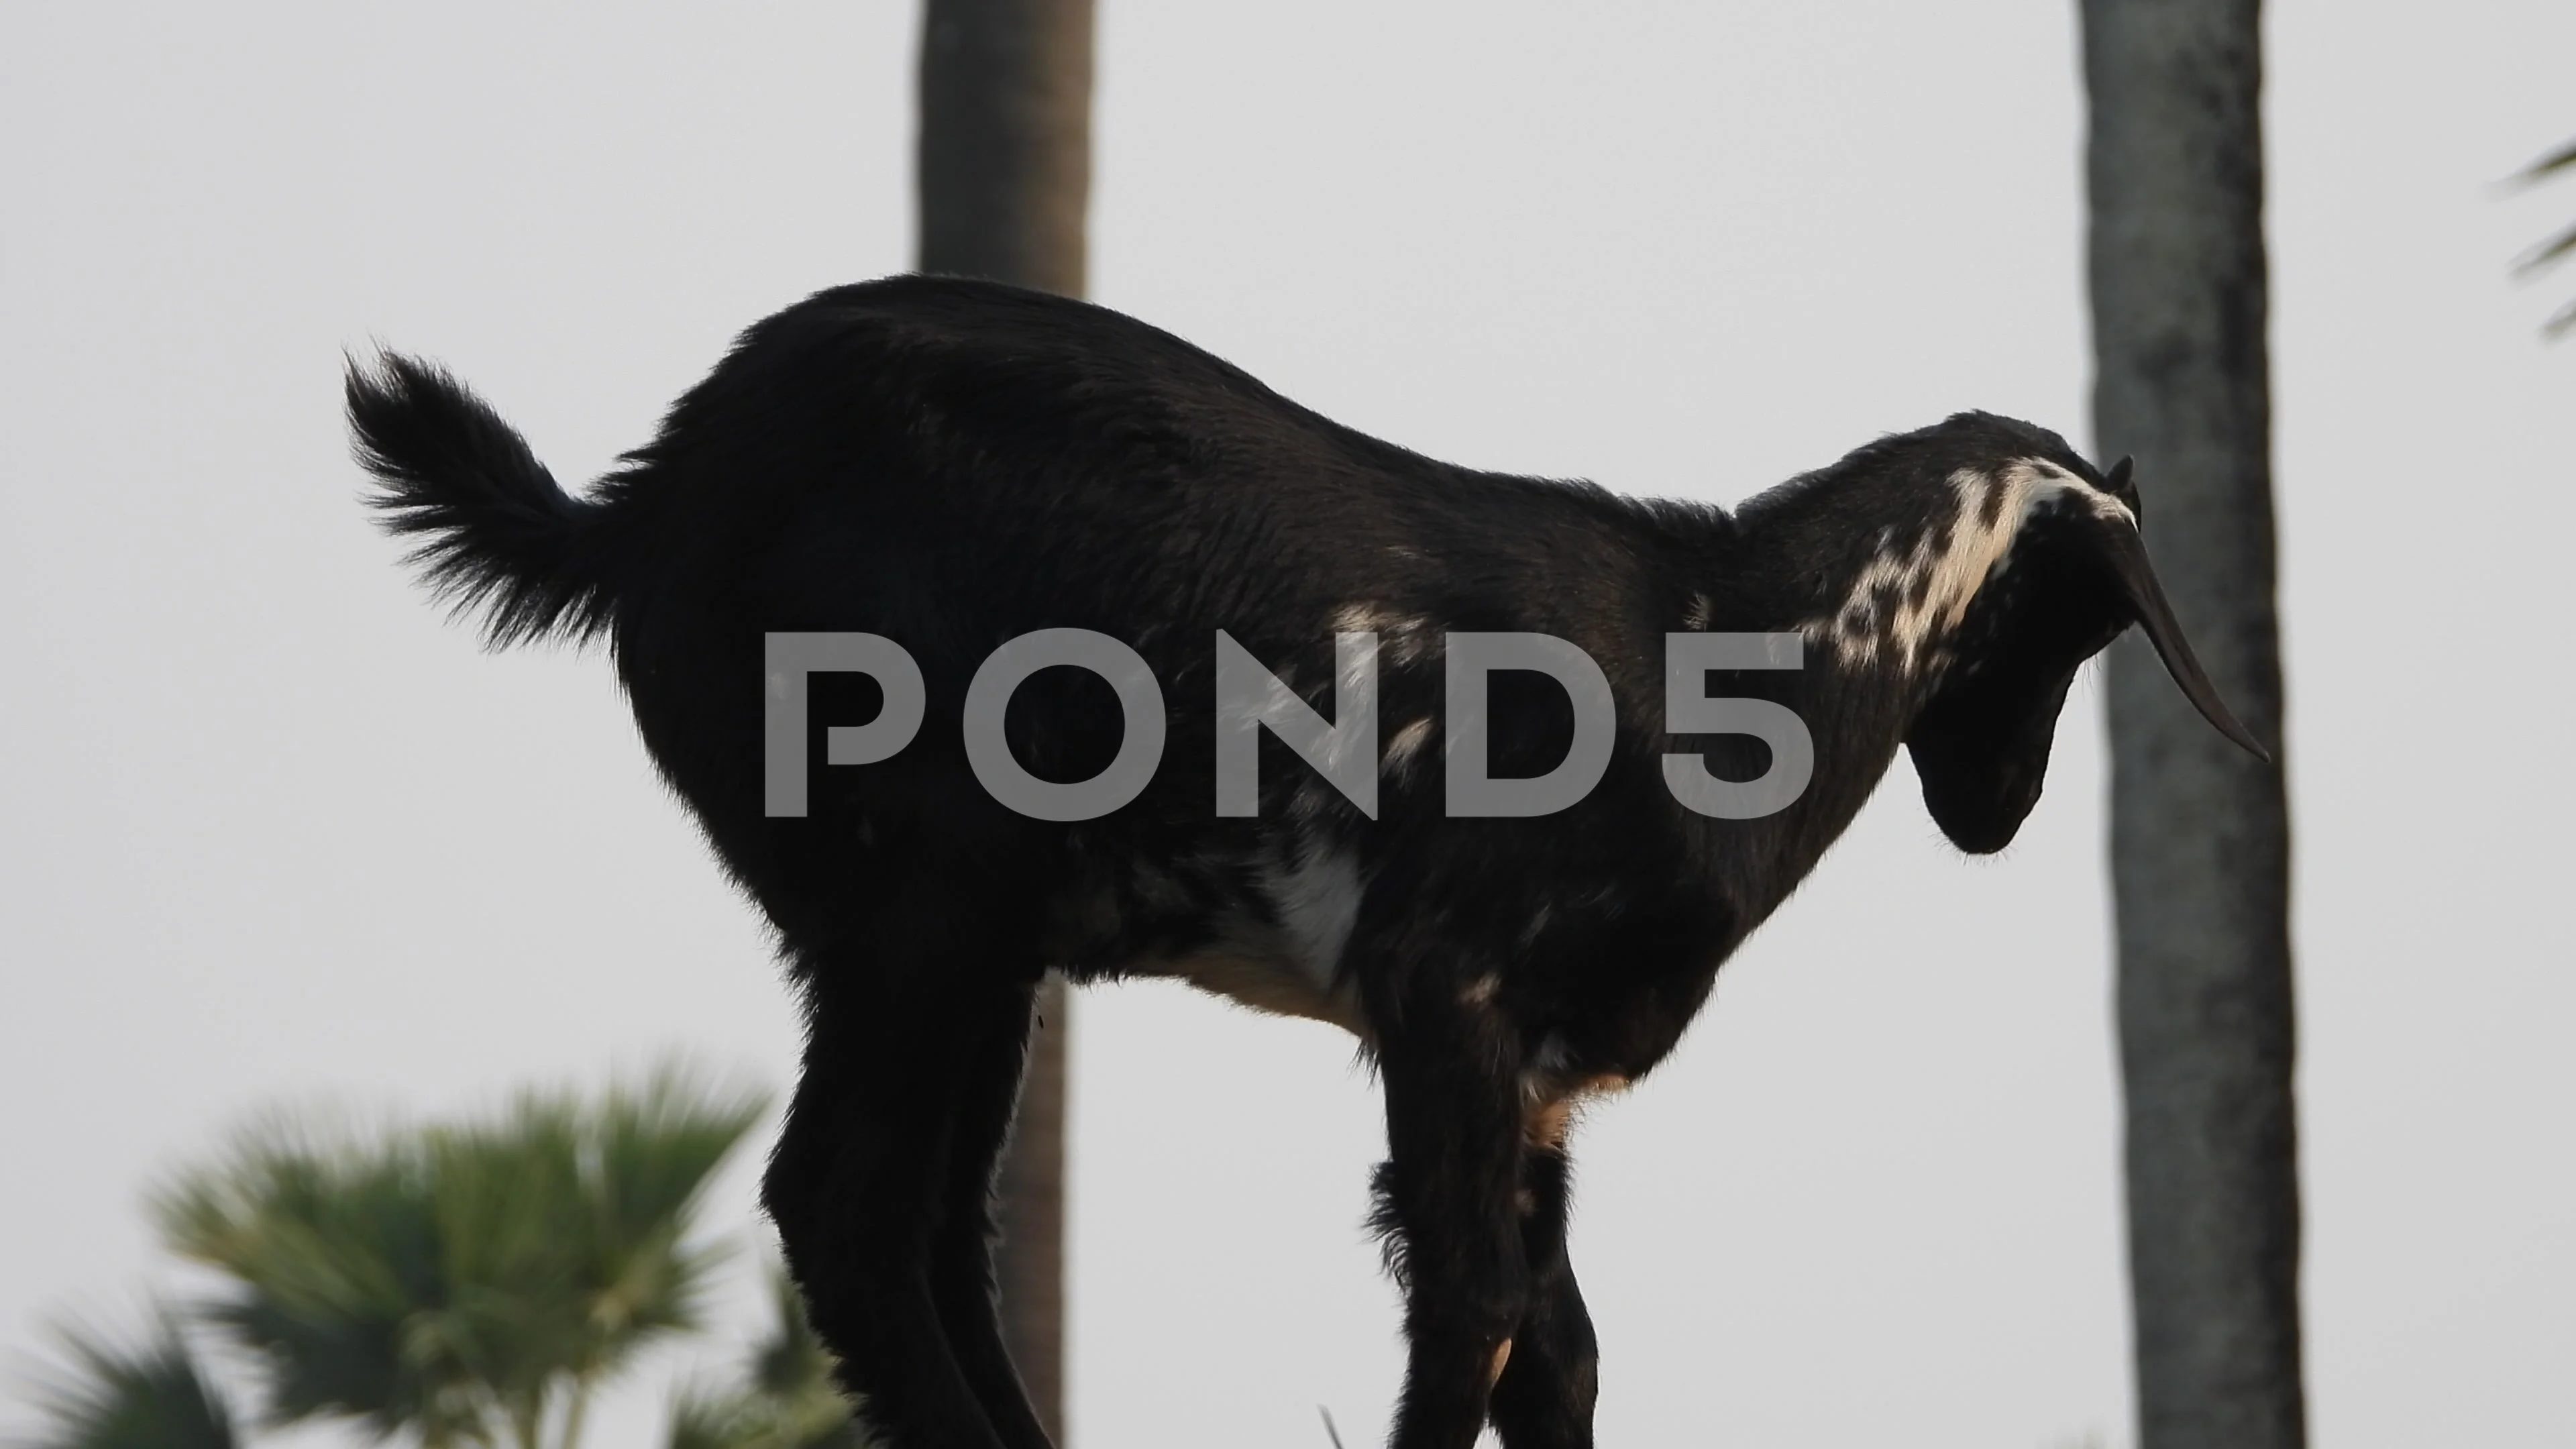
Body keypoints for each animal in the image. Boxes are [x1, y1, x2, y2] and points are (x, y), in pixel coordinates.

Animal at [348, 274, 2263, 1449]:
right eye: (2086, 622)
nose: (1996, 809)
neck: (1724, 654)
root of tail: (636, 509)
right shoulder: (1449, 996)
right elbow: (1469, 1311)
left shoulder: (1541, 1084)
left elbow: (1551, 1346)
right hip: (916, 905)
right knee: (849, 1205)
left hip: (977, 945)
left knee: (935, 1221)